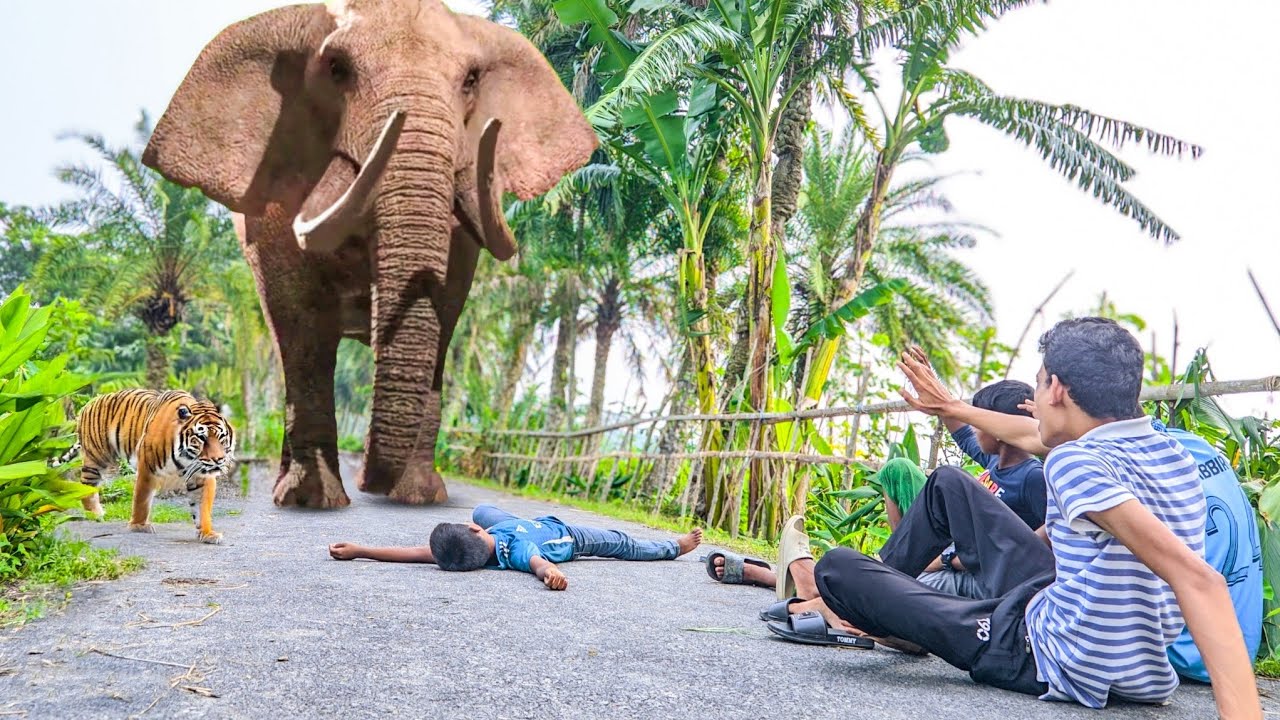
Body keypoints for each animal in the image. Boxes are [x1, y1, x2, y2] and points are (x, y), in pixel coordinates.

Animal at [142, 0, 597, 507]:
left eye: (471, 80)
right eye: (337, 70)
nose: (368, 483)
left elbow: (446, 311)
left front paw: (418, 498)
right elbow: (300, 320)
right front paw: (311, 502)